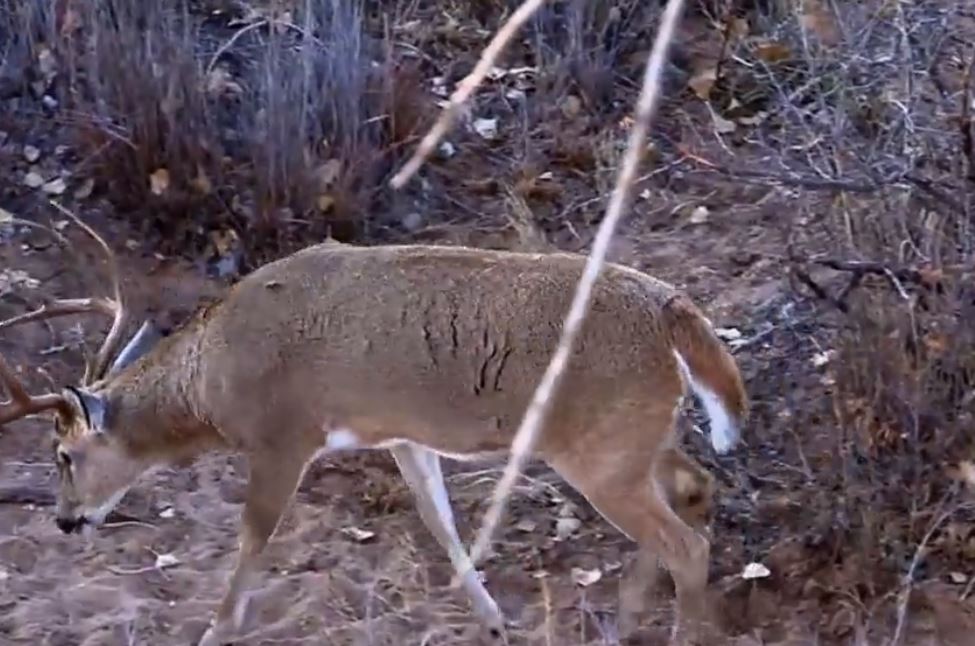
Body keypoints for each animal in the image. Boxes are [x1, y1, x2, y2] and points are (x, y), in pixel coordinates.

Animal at [0, 213, 747, 645]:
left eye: (63, 455)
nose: (65, 520)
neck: (212, 383)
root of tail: (671, 308)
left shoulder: (284, 435)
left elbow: (253, 537)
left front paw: (215, 630)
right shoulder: (402, 433)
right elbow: (441, 523)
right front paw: (492, 620)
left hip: (600, 450)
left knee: (686, 544)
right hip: (635, 436)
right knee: (695, 487)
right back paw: (627, 620)